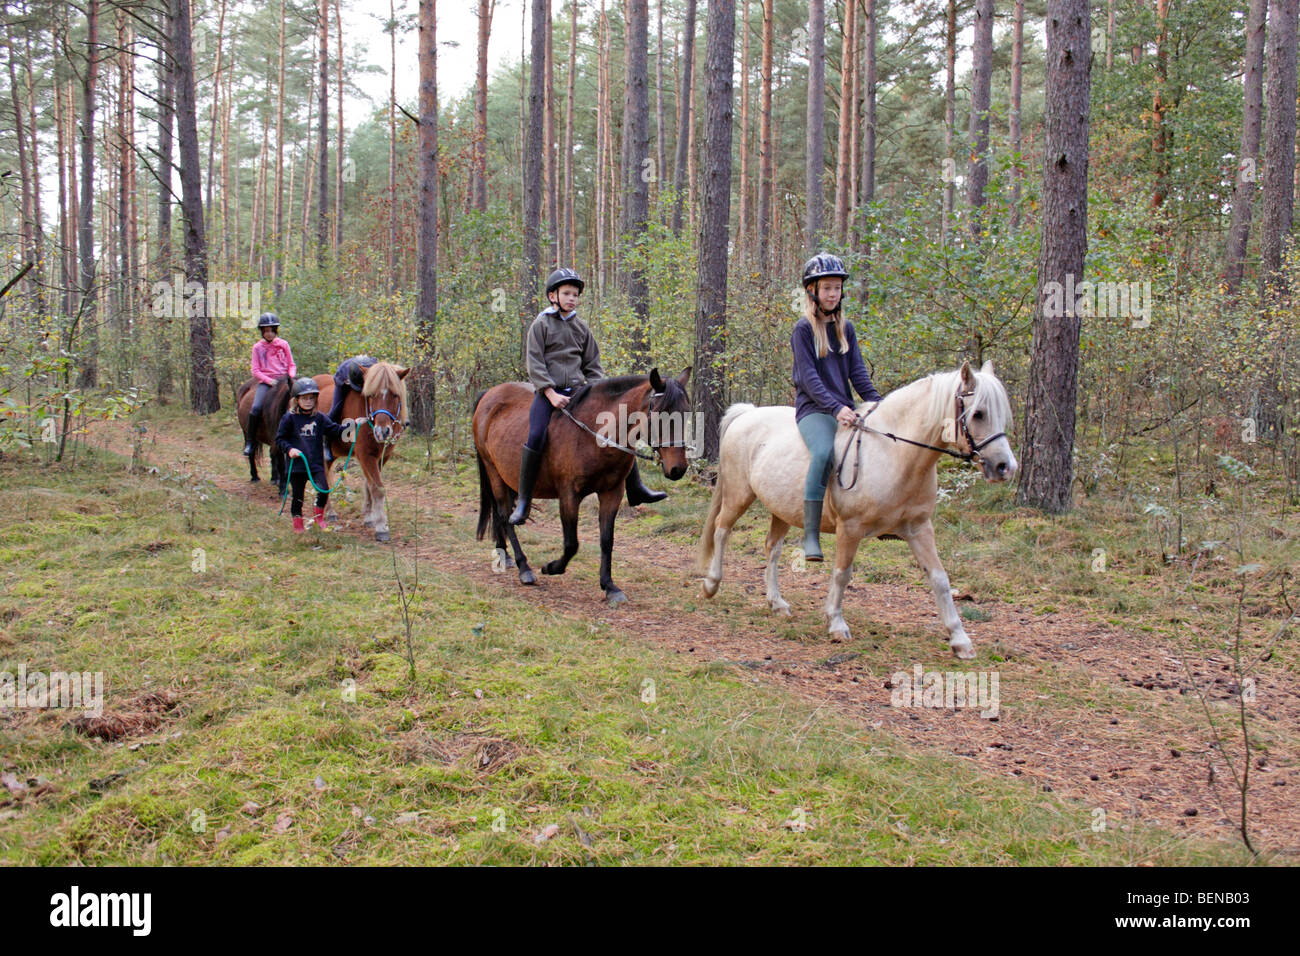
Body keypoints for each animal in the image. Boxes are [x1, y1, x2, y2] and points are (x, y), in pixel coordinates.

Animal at [313, 361, 409, 542]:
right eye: (371, 395)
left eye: (395, 395)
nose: (382, 431)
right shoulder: (365, 456)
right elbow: (378, 488)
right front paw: (381, 526)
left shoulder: (381, 457)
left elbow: (368, 485)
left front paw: (369, 518)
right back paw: (328, 511)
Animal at [474, 368, 693, 604]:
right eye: (659, 413)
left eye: (686, 412)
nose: (678, 469)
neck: (596, 436)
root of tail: (489, 395)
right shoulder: (569, 495)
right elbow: (572, 543)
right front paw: (552, 567)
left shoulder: (611, 493)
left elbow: (607, 540)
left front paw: (609, 586)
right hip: (493, 471)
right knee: (505, 515)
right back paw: (524, 568)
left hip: (509, 475)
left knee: (501, 513)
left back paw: (503, 555)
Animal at [697, 360, 1017, 660]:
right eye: (978, 413)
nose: (1005, 467)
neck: (895, 454)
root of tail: (747, 414)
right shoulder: (850, 528)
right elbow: (842, 573)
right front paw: (836, 623)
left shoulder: (919, 528)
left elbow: (940, 579)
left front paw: (960, 640)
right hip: (739, 495)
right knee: (722, 531)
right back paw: (711, 584)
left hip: (782, 509)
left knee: (772, 548)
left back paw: (777, 603)